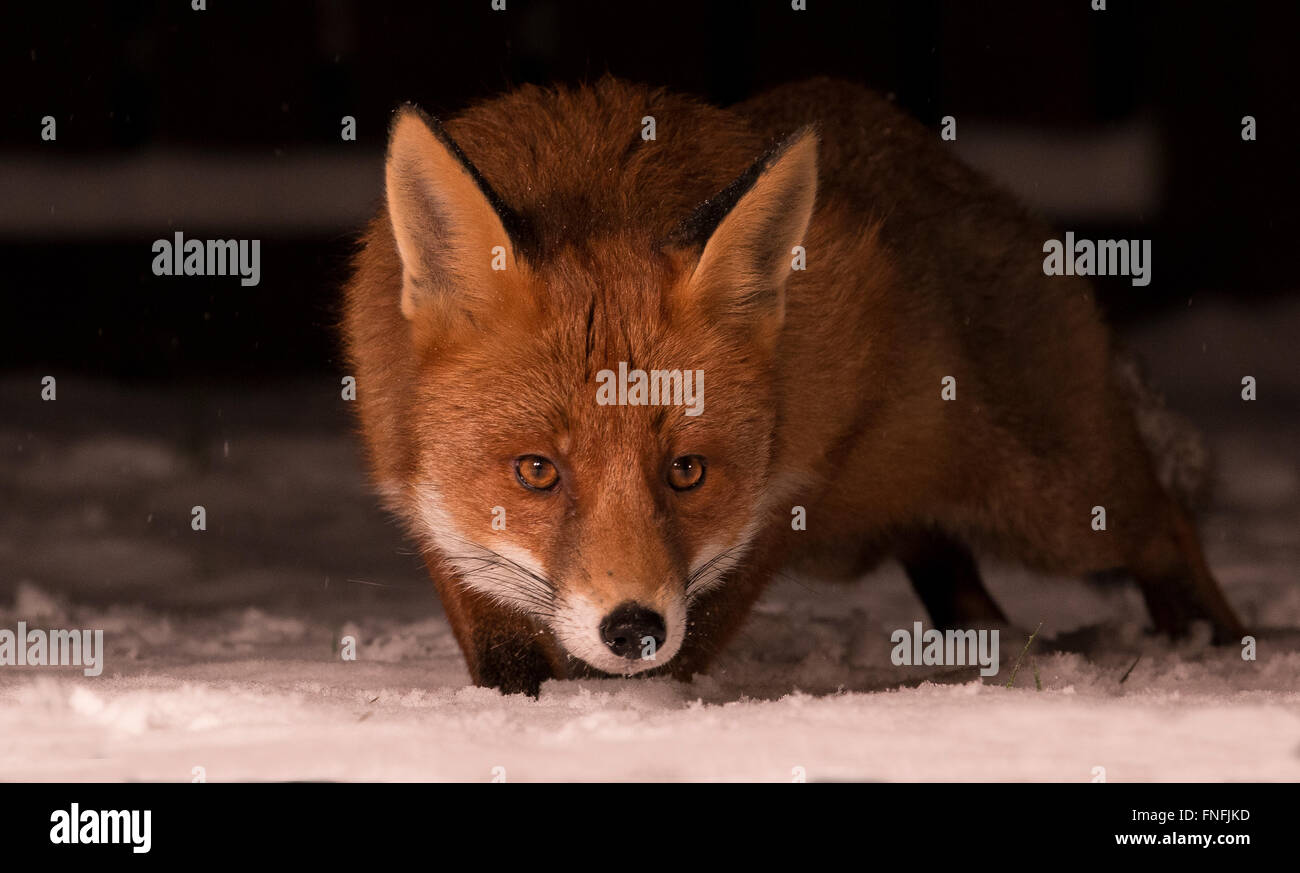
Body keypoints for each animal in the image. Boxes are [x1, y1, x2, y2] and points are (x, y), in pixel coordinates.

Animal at [342, 77, 1246, 696]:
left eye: (688, 471)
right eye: (537, 470)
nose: (633, 628)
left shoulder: (795, 472)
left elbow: (702, 624)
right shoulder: (424, 497)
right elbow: (501, 652)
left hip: (1058, 510)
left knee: (1164, 520)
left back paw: (1212, 639)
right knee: (947, 558)